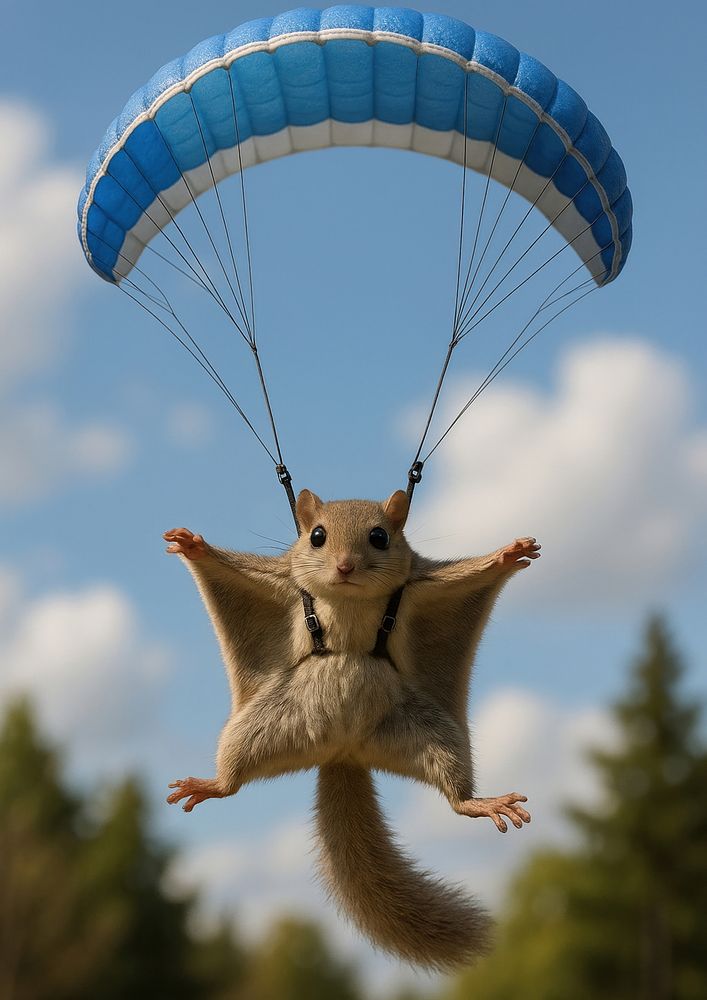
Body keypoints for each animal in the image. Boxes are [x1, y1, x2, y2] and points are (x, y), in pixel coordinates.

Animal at [164, 488, 539, 970]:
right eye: (317, 536)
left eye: (379, 537)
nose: (344, 567)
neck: (347, 601)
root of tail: (343, 752)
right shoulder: (277, 578)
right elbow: (236, 567)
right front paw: (195, 547)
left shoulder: (426, 584)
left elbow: (464, 573)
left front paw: (508, 554)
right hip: (255, 729)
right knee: (232, 781)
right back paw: (210, 784)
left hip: (437, 739)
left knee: (456, 796)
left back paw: (482, 803)